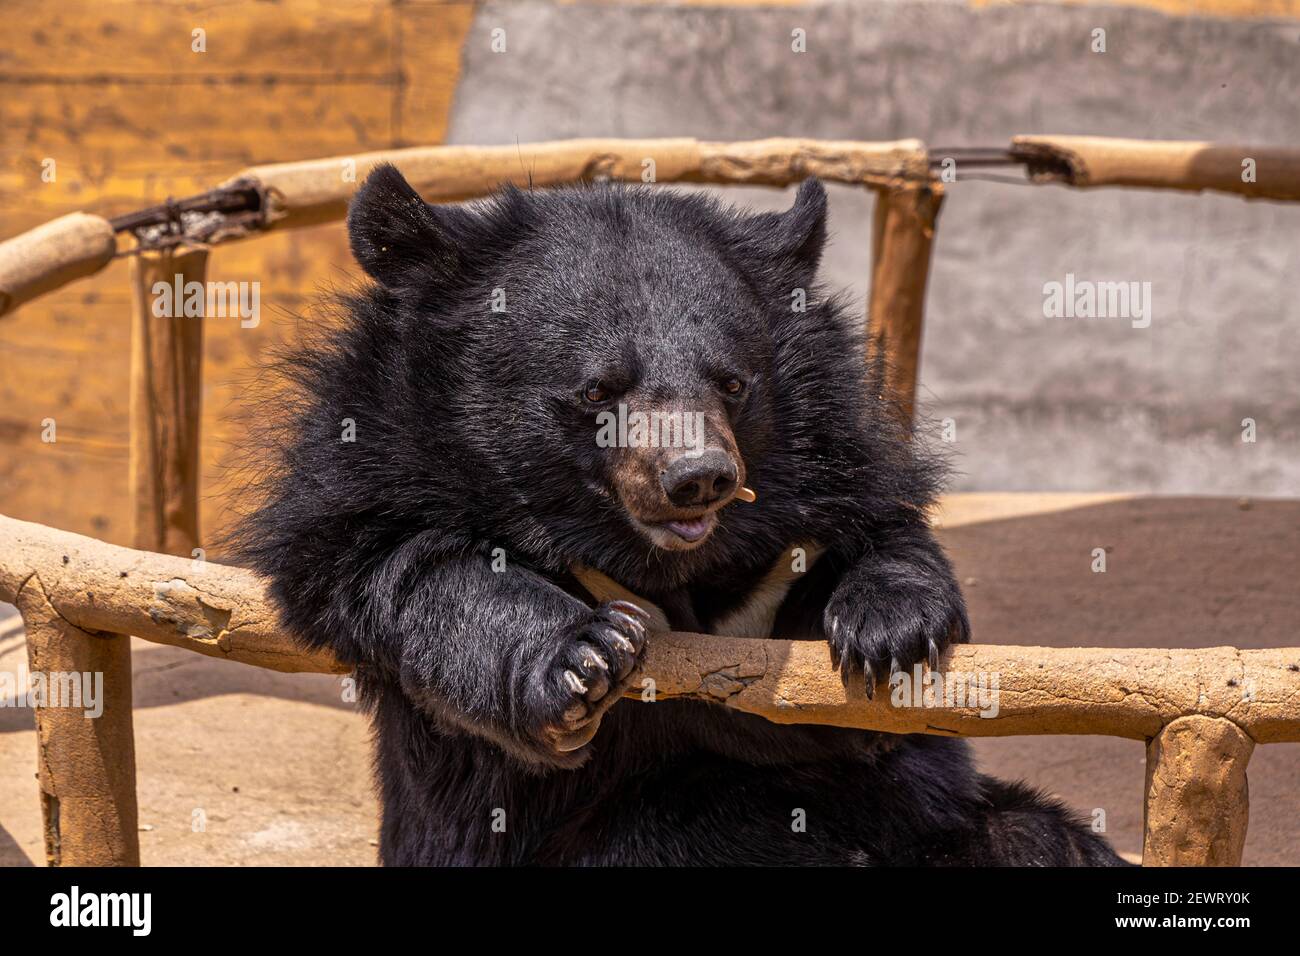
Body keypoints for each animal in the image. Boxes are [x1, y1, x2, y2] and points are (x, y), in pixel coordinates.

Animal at [232, 163, 1126, 866]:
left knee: (1036, 840)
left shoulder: (819, 499)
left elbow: (868, 584)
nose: (699, 478)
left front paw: (891, 634)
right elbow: (416, 572)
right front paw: (584, 660)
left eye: (733, 382)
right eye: (598, 390)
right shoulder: (367, 475)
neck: (669, 571)